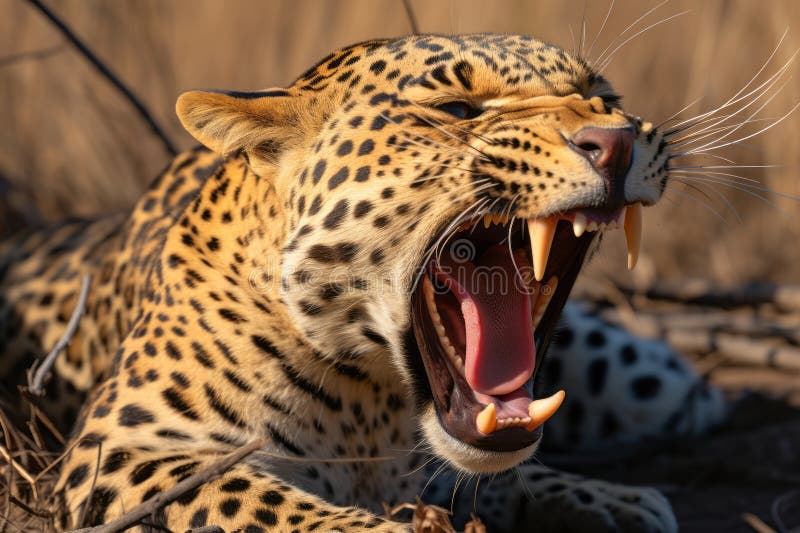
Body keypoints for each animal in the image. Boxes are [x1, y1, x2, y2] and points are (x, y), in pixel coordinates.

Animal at [0, 33, 726, 532]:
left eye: (608, 100)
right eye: (458, 108)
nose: (616, 140)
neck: (369, 406)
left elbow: (494, 477)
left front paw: (609, 501)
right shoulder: (123, 450)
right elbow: (266, 504)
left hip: (651, 380)